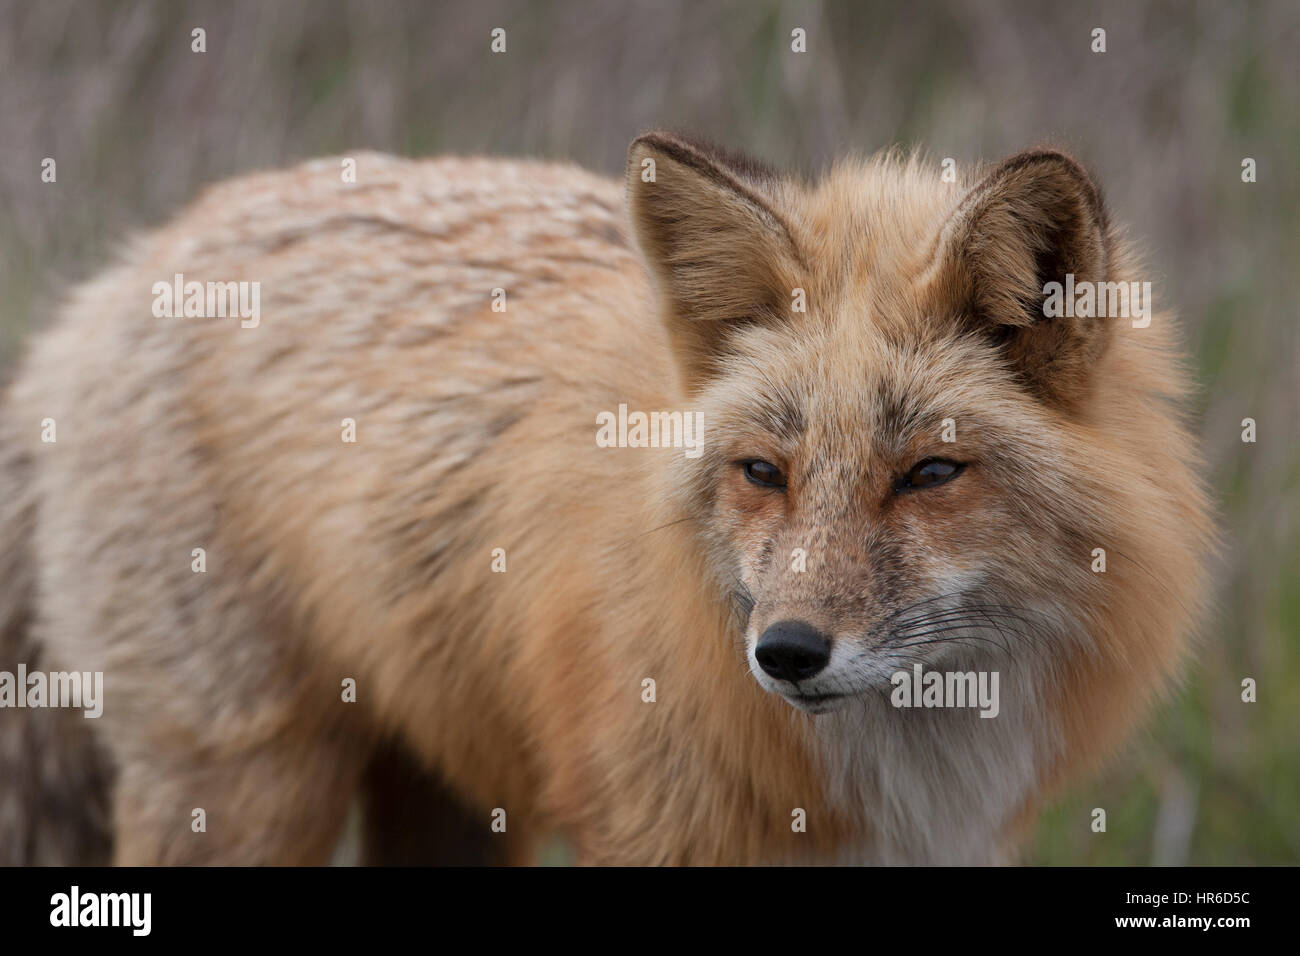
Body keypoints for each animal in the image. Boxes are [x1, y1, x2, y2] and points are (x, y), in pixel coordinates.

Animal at [0, 132, 1212, 865]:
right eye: (763, 472)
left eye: (927, 472)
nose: (785, 653)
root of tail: (120, 276)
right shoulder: (653, 826)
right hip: (249, 786)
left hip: (445, 797)